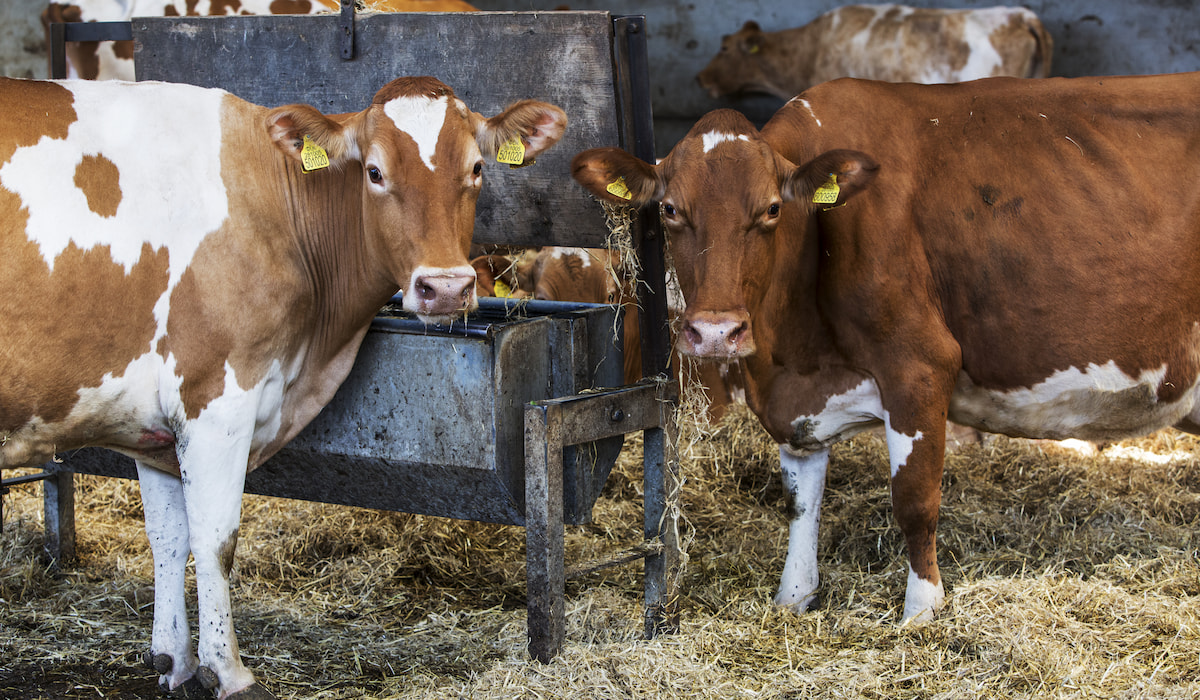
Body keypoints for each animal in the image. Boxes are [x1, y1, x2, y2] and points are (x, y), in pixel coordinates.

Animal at [0, 74, 565, 698]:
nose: (444, 288)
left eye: (476, 168)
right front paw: (228, 670)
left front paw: (175, 661)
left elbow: (169, 537)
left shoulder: (156, 427)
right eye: (374, 171)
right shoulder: (216, 398)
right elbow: (216, 538)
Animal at [570, 72, 1200, 624]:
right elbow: (801, 501)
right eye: (670, 209)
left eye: (772, 208)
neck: (794, 353)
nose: (716, 332)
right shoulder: (797, 402)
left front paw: (921, 612)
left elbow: (915, 502)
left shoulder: (919, 367)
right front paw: (793, 597)